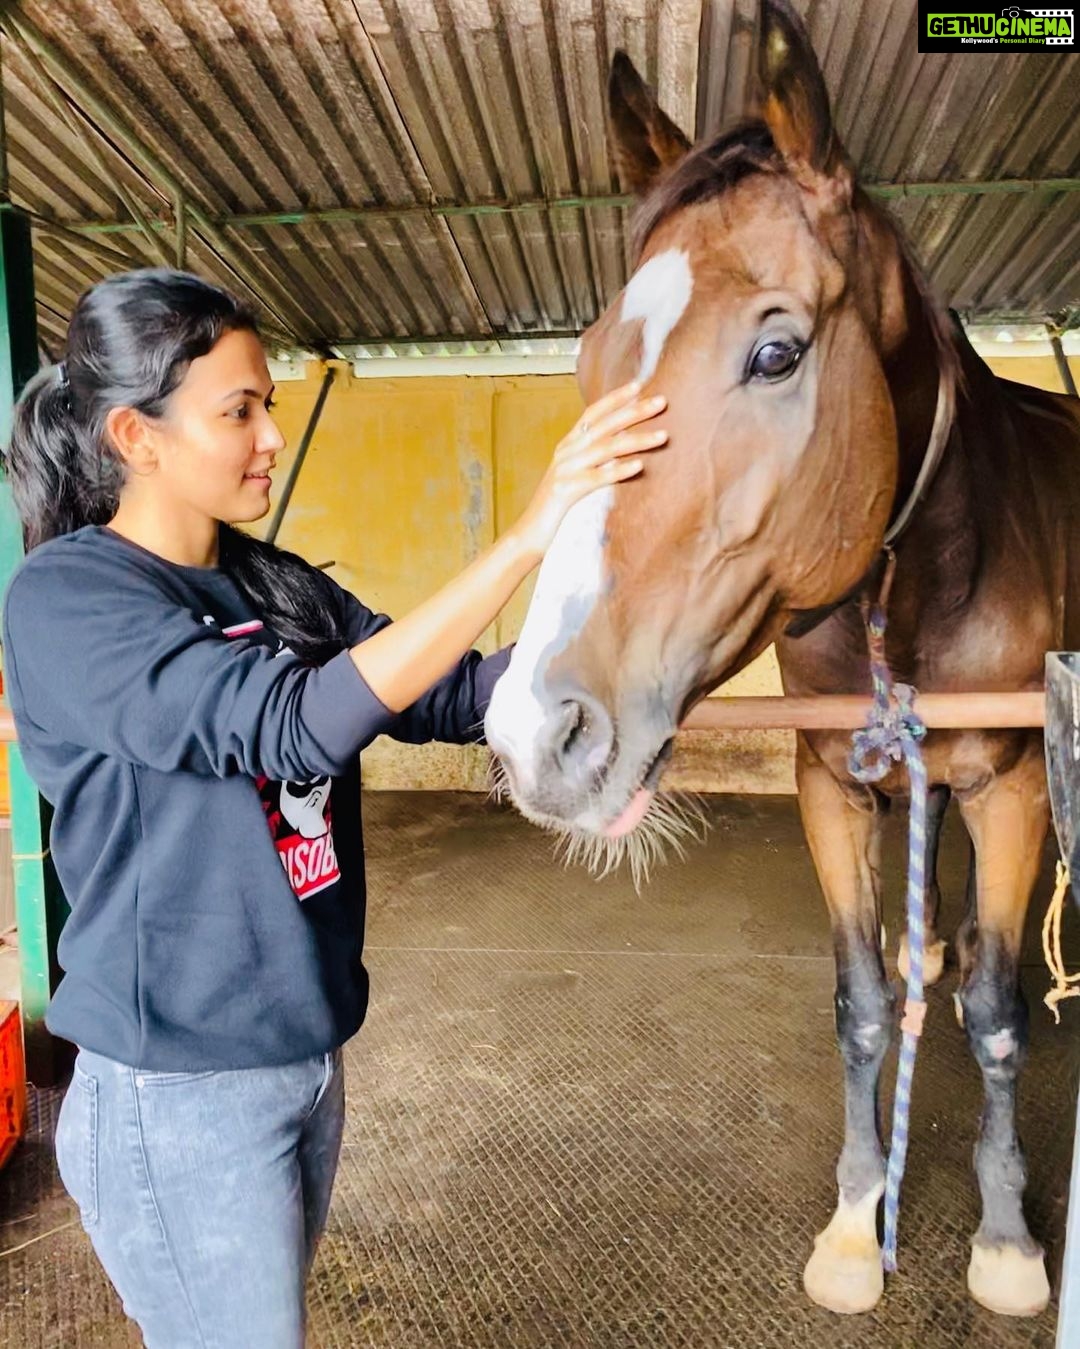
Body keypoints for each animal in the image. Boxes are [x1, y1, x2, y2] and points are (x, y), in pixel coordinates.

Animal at [484, 0, 1080, 1319]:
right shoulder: (831, 786)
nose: (538, 734)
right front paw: (858, 1223)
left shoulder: (1014, 783)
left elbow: (999, 1013)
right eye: (592, 364)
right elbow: (862, 1004)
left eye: (775, 355)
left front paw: (1008, 1239)